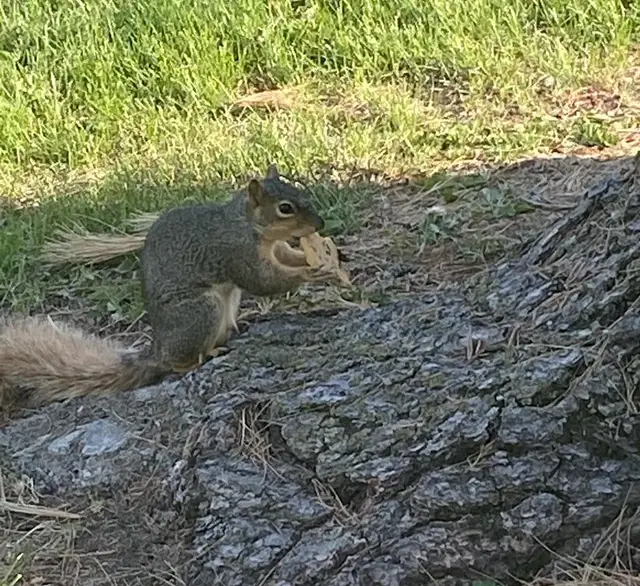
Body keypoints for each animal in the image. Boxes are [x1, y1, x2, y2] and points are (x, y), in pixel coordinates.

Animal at [1, 165, 338, 415]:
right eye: (285, 208)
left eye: (299, 192)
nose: (320, 223)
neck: (248, 224)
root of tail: (158, 349)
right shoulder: (236, 252)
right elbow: (263, 282)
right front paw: (311, 271)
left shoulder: (274, 248)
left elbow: (286, 259)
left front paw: (328, 257)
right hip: (200, 310)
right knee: (177, 363)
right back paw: (203, 355)